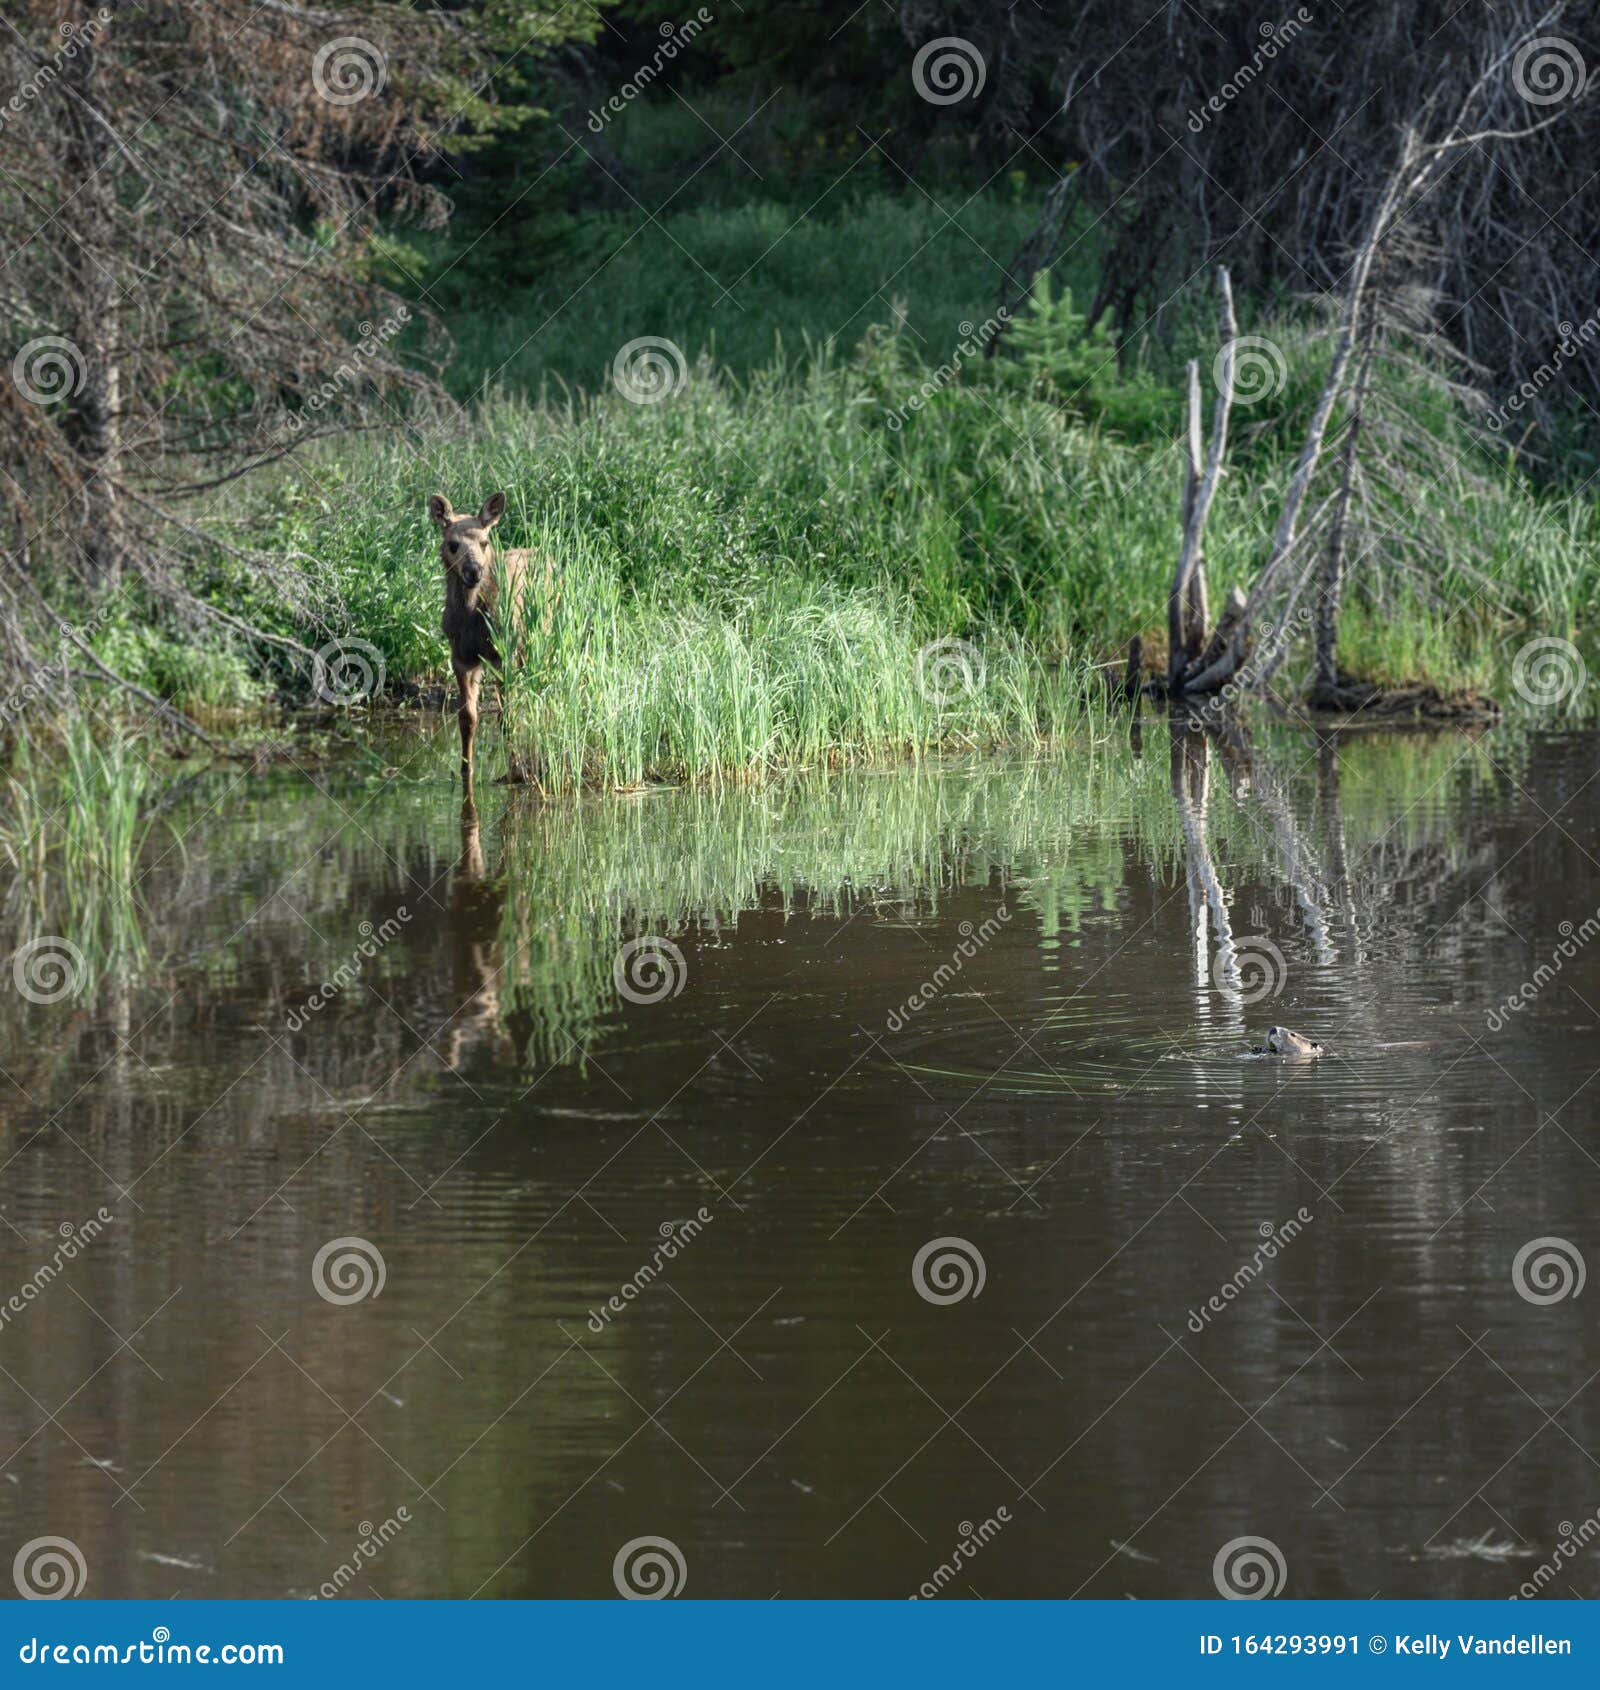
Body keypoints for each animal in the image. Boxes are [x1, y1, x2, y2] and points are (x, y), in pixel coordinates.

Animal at [429, 490, 552, 784]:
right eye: (452, 544)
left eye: (484, 542)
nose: (474, 571)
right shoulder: (462, 658)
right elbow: (468, 718)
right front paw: (466, 769)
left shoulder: (503, 656)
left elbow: (506, 719)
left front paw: (514, 771)